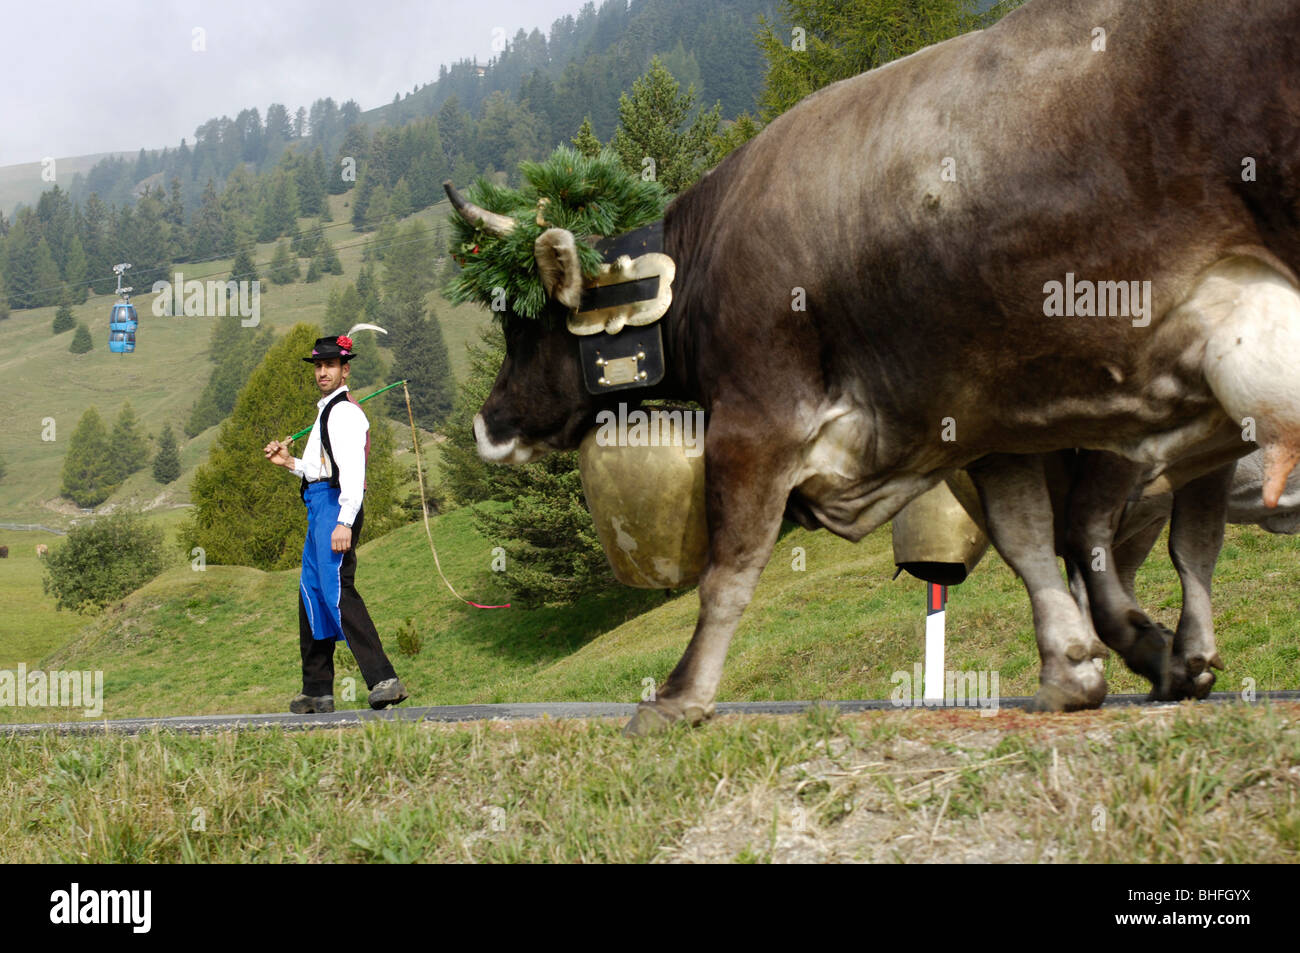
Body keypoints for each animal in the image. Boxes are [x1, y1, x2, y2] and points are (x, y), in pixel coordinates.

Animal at [452, 0, 1300, 732]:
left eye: (523, 323)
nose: (486, 424)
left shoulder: (757, 417)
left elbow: (729, 568)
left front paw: (678, 697)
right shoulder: (982, 416)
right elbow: (1025, 534)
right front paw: (1075, 669)